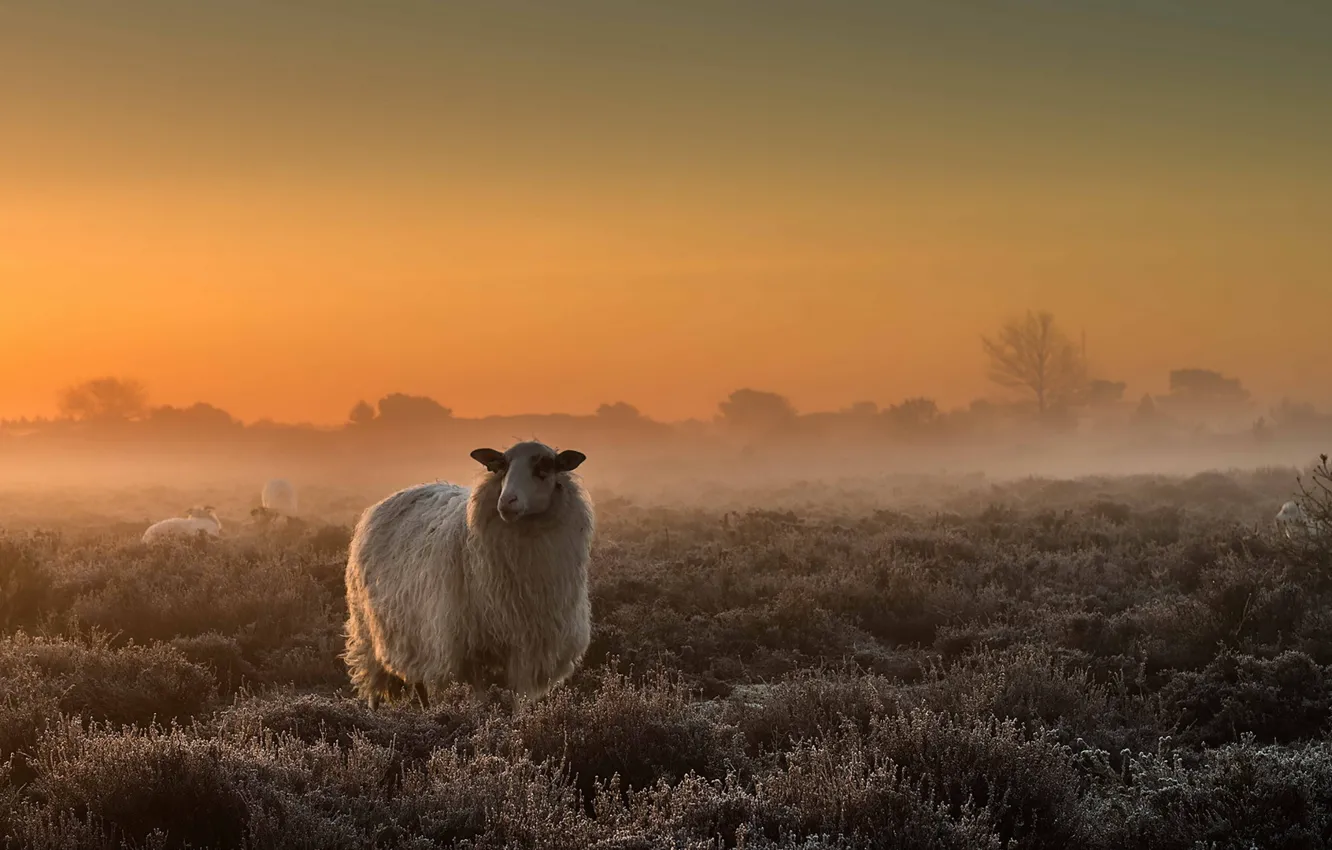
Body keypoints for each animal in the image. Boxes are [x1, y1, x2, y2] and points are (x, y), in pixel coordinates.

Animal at [343, 440, 593, 710]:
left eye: (544, 468)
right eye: (501, 467)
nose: (507, 502)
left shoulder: (525, 651)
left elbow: (518, 702)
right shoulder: (467, 653)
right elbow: (480, 702)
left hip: (413, 635)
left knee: (419, 684)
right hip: (369, 630)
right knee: (375, 686)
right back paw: (373, 714)